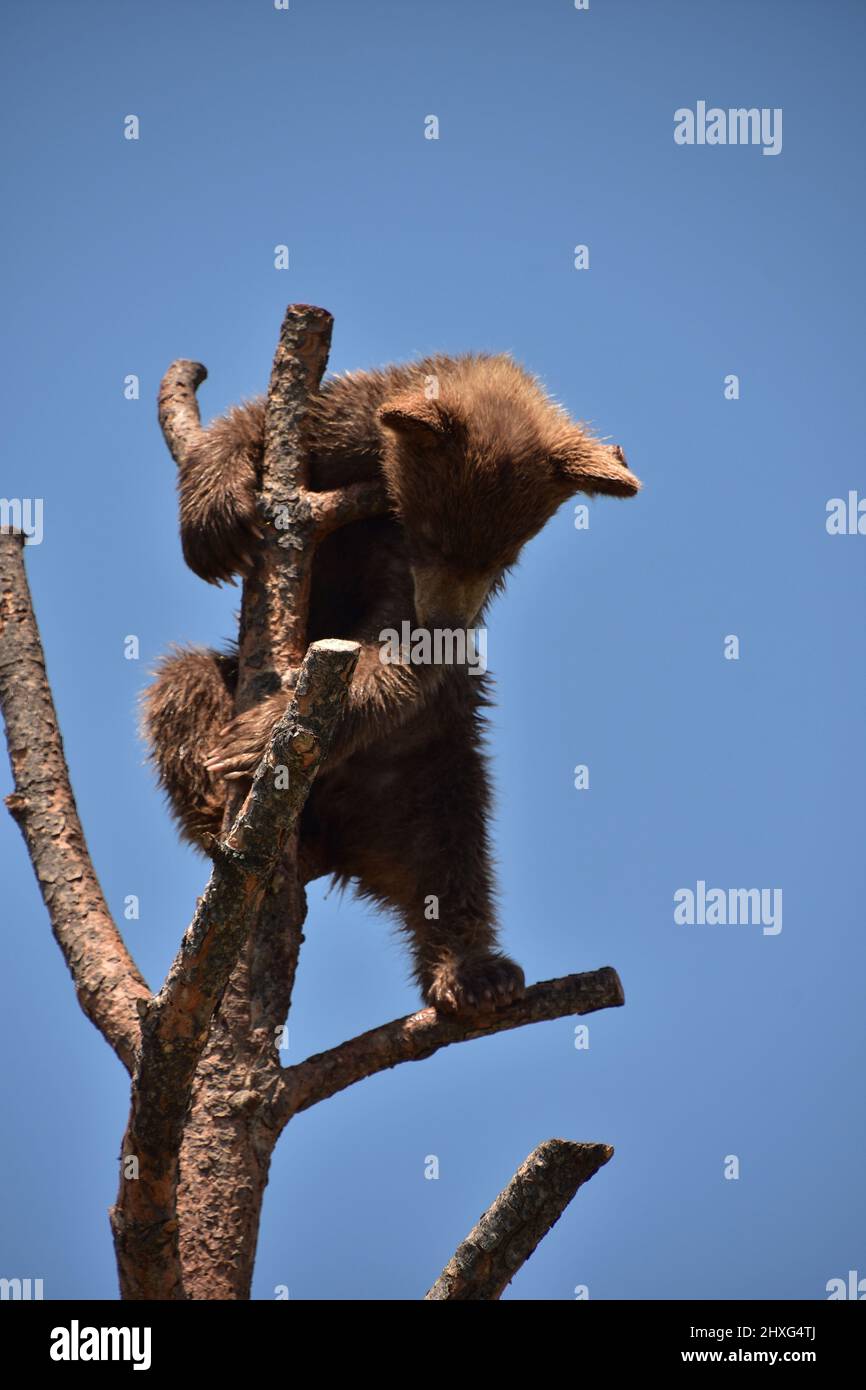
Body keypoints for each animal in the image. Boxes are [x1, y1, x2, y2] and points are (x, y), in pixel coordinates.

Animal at [142, 352, 640, 1013]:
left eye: (505, 555)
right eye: (433, 536)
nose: (447, 618)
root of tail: (338, 848)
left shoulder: (413, 591)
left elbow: (399, 653)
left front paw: (264, 734)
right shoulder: (341, 438)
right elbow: (264, 421)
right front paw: (215, 517)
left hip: (433, 760)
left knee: (450, 851)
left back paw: (475, 971)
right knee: (182, 682)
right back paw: (211, 800)